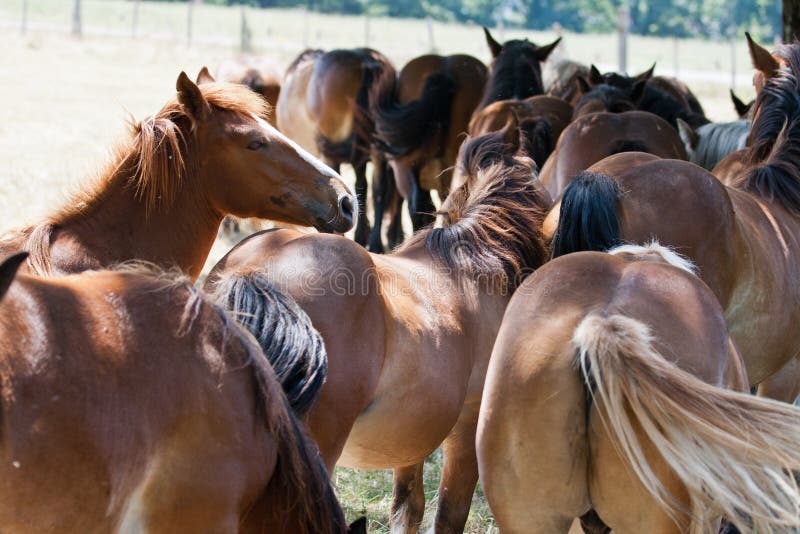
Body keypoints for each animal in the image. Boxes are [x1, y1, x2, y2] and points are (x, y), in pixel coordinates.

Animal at [205, 125, 552, 533]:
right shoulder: (467, 428)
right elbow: (448, 515)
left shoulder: (412, 436)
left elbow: (407, 509)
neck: (470, 267)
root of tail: (250, 271)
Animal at [276, 48, 395, 249]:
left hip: (331, 154)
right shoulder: (360, 160)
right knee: (378, 191)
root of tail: (366, 60)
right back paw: (374, 242)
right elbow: (362, 188)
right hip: (376, 151)